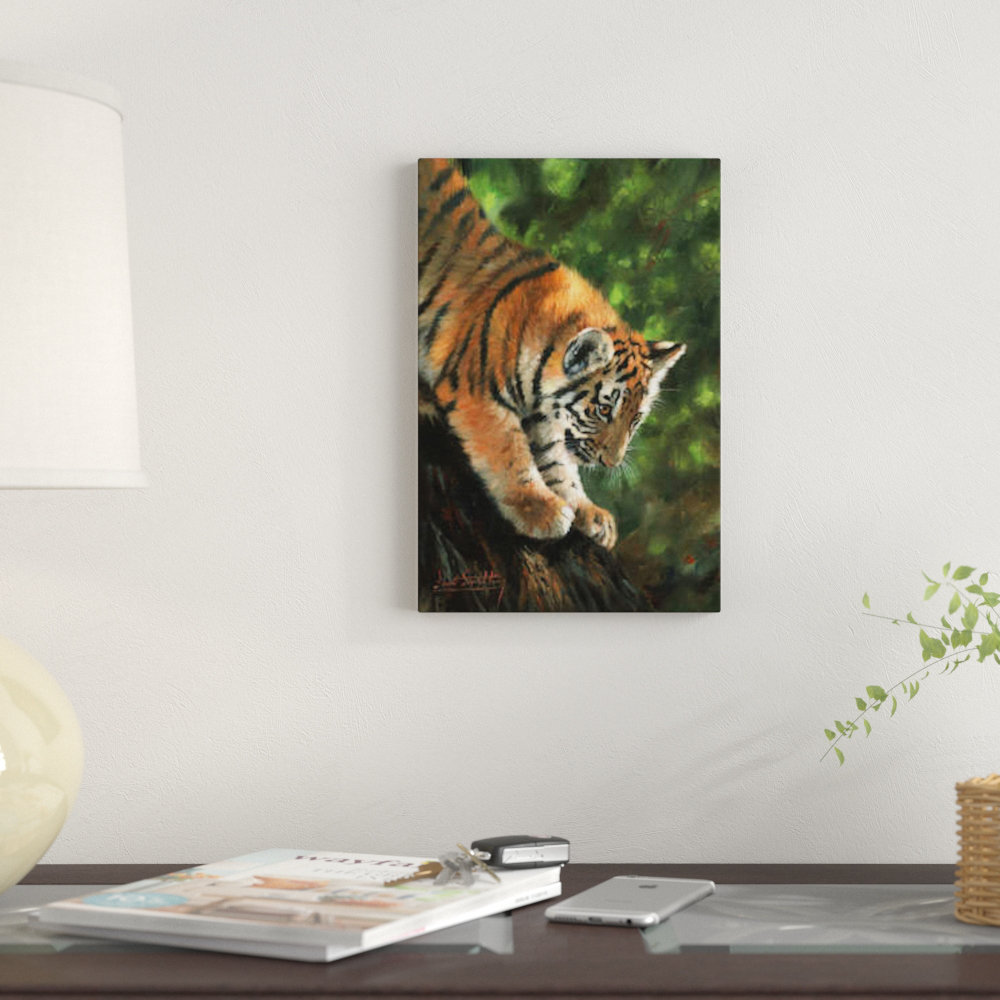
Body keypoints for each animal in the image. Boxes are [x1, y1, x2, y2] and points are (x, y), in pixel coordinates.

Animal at [418, 158, 685, 550]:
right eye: (603, 410)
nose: (611, 463)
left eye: (635, 419)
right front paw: (541, 511)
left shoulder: (543, 415)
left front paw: (589, 513)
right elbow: (509, 452)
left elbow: (556, 461)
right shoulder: (478, 395)